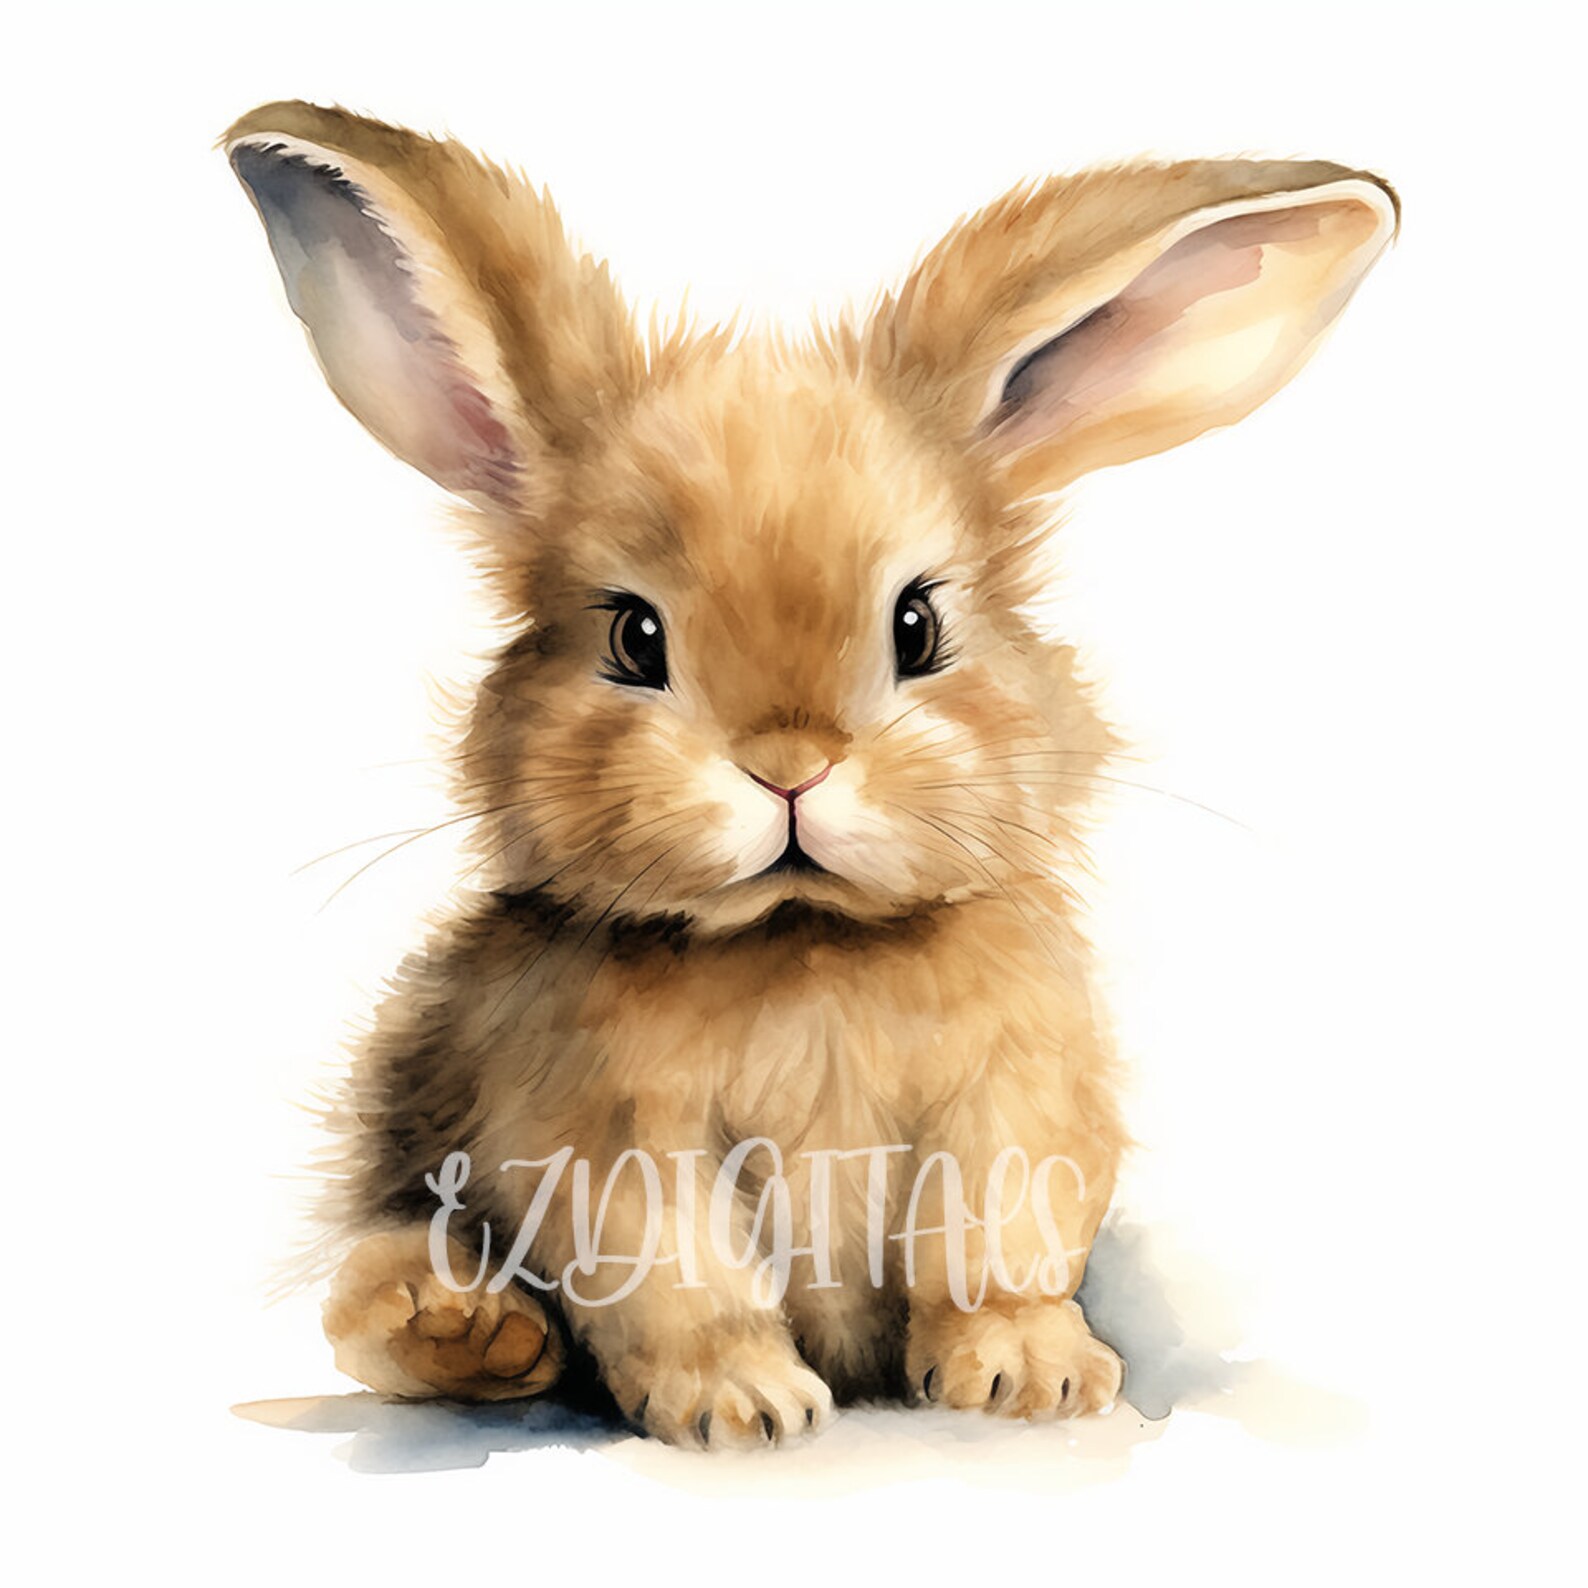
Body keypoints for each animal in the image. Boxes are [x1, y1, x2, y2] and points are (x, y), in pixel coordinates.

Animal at [225, 100, 1396, 1448]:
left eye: (918, 625)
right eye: (634, 635)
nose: (789, 770)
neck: (803, 943)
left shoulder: (1014, 1104)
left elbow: (994, 1246)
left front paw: (1029, 1377)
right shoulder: (610, 1142)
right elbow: (679, 1275)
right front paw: (742, 1406)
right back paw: (463, 1324)